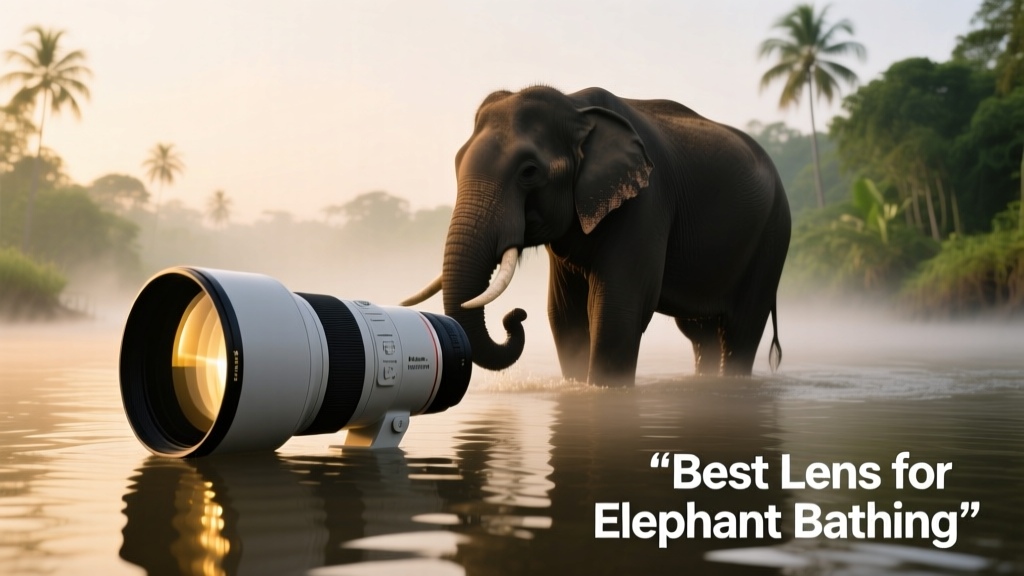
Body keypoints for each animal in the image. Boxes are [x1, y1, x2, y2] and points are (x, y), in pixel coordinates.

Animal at [403, 86, 790, 386]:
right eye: (456, 163)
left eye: (529, 172)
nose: (516, 315)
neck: (576, 108)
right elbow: (565, 314)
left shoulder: (646, 203)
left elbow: (617, 308)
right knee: (699, 332)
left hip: (772, 235)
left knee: (740, 327)